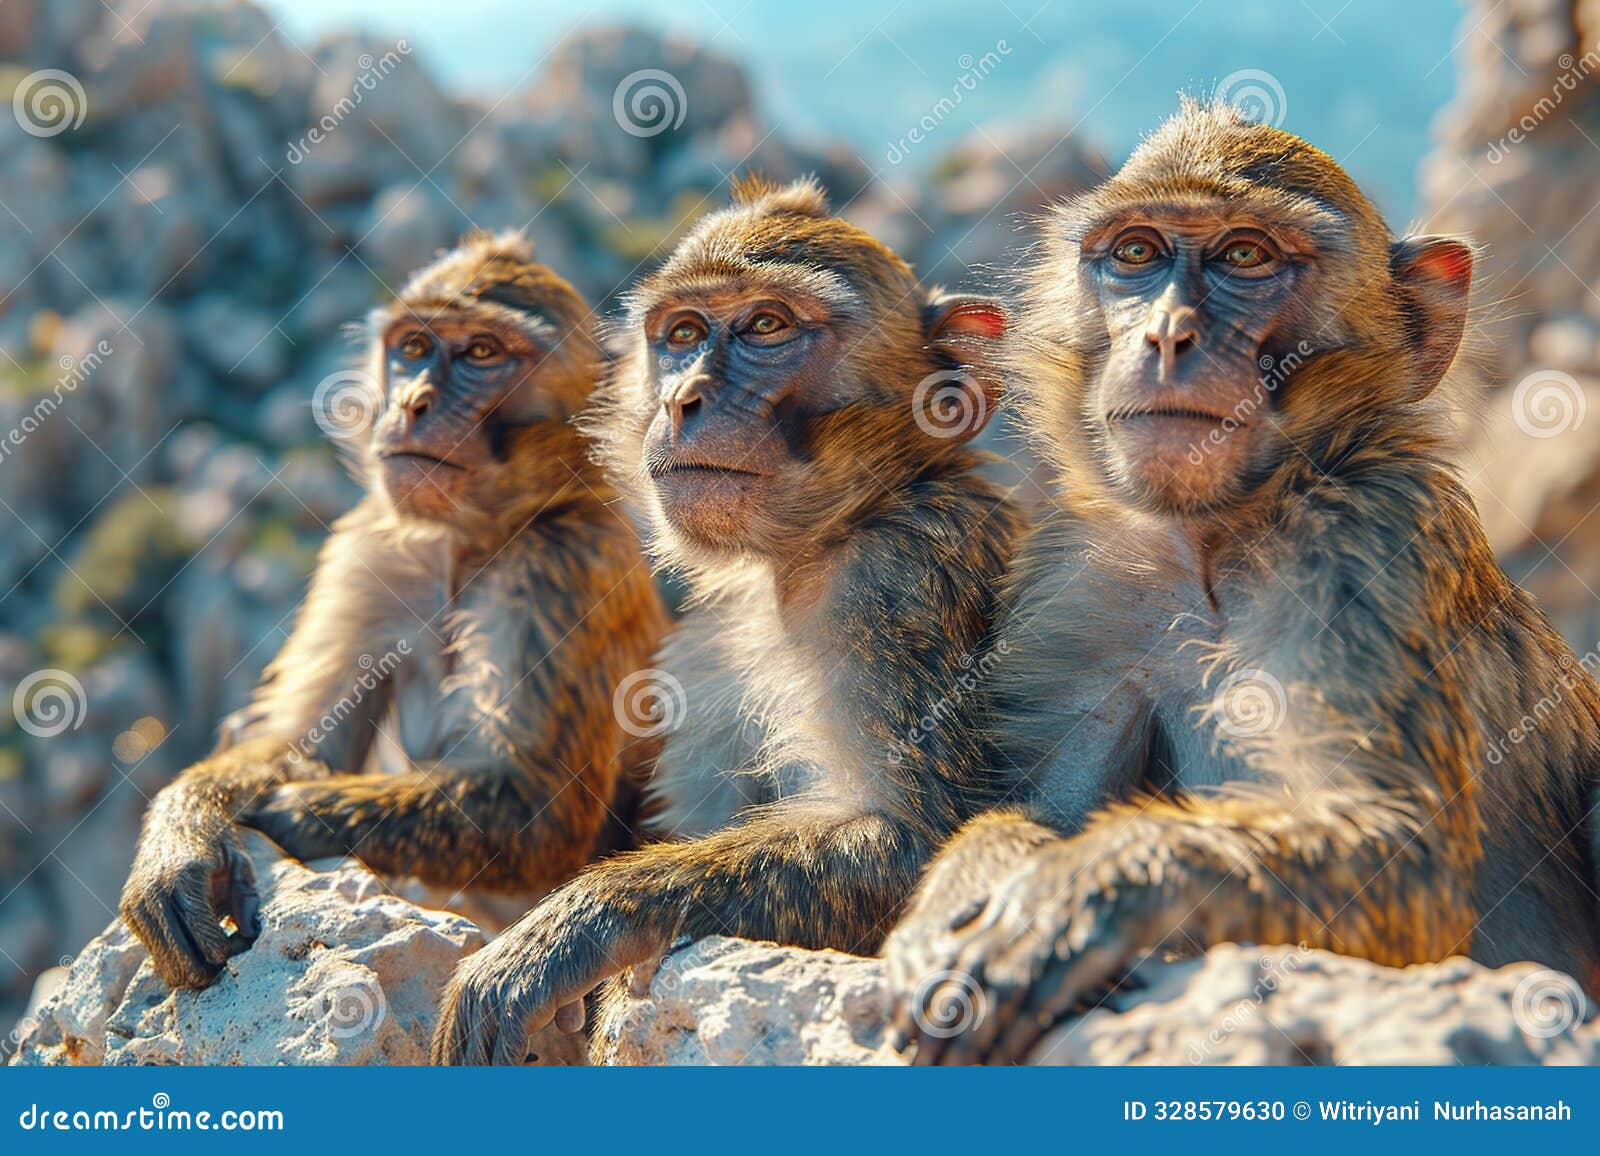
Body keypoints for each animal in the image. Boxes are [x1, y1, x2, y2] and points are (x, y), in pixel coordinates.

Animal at [118, 232, 668, 995]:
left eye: (481, 353)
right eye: (413, 346)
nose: (411, 401)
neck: (469, 544)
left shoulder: (566, 565)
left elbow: (536, 810)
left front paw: (291, 810)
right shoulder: (370, 552)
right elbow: (296, 736)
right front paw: (185, 837)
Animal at [430, 177, 1027, 1065]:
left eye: (767, 327)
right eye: (682, 334)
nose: (682, 400)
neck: (824, 540)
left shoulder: (903, 579)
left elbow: (926, 845)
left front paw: (566, 931)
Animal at [884, 98, 1600, 1065]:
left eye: (1246, 258)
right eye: (1136, 252)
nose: (1166, 335)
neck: (1216, 549)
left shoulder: (1374, 539)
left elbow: (1403, 851)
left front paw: (1077, 891)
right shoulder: (1084, 580)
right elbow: (1047, 804)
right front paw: (978, 877)